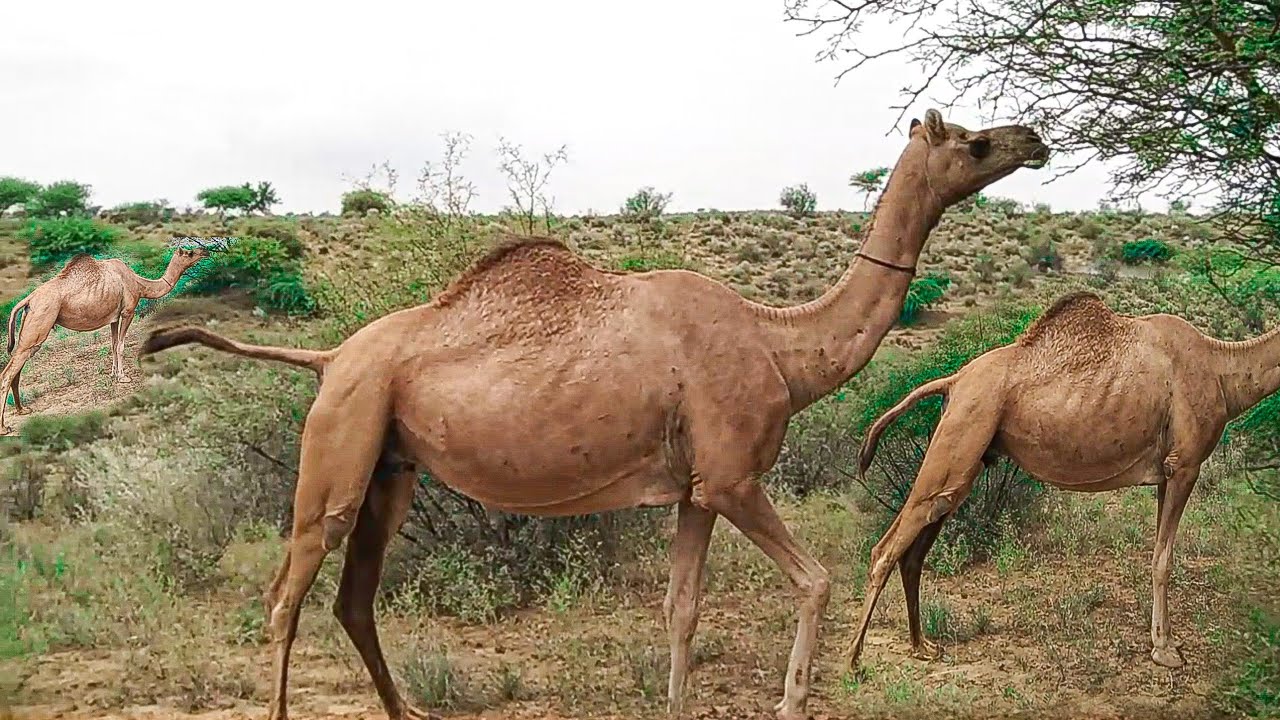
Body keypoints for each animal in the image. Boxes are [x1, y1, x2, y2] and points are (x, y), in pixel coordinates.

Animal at [0, 238, 220, 434]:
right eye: (189, 253)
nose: (206, 251)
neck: (139, 283)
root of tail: (28, 299)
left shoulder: (113, 317)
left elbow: (113, 345)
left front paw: (114, 374)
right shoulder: (128, 311)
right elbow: (121, 345)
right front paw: (123, 377)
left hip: (30, 323)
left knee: (17, 366)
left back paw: (22, 410)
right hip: (41, 319)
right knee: (8, 372)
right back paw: (4, 427)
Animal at [138, 108, 1048, 720]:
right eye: (973, 141)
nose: (1035, 139)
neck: (781, 347)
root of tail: (328, 358)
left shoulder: (695, 490)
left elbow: (682, 609)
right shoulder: (734, 477)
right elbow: (815, 578)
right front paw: (792, 701)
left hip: (389, 463)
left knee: (352, 599)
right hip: (340, 436)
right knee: (286, 593)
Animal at [848, 290, 1280, 672]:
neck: (1222, 370)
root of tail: (954, 380)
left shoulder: (1165, 473)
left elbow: (1158, 553)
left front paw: (1162, 642)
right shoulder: (1186, 465)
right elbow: (1164, 559)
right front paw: (1166, 650)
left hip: (962, 453)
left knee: (917, 547)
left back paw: (922, 646)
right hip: (965, 426)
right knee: (885, 549)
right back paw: (854, 661)